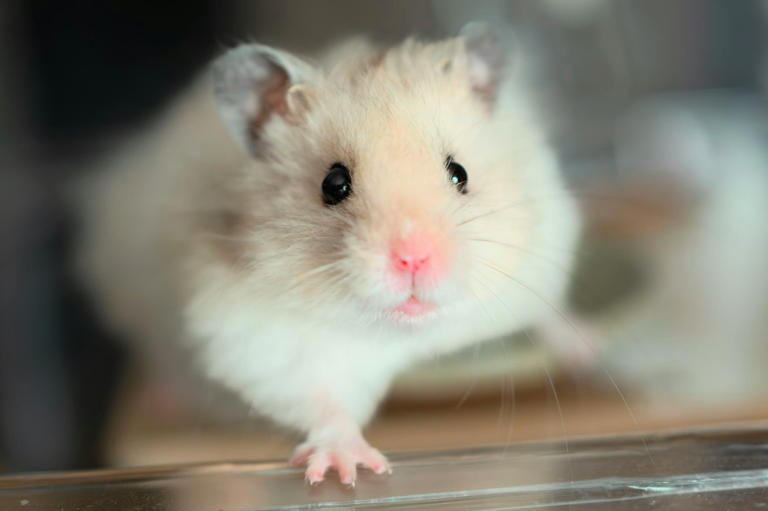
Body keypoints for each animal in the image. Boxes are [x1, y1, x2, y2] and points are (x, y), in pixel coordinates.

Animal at [77, 24, 580, 485]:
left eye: (460, 173)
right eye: (333, 184)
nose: (414, 259)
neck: (405, 333)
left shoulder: (540, 257)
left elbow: (548, 314)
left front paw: (584, 350)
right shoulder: (261, 341)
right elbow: (323, 401)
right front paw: (347, 471)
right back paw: (161, 399)